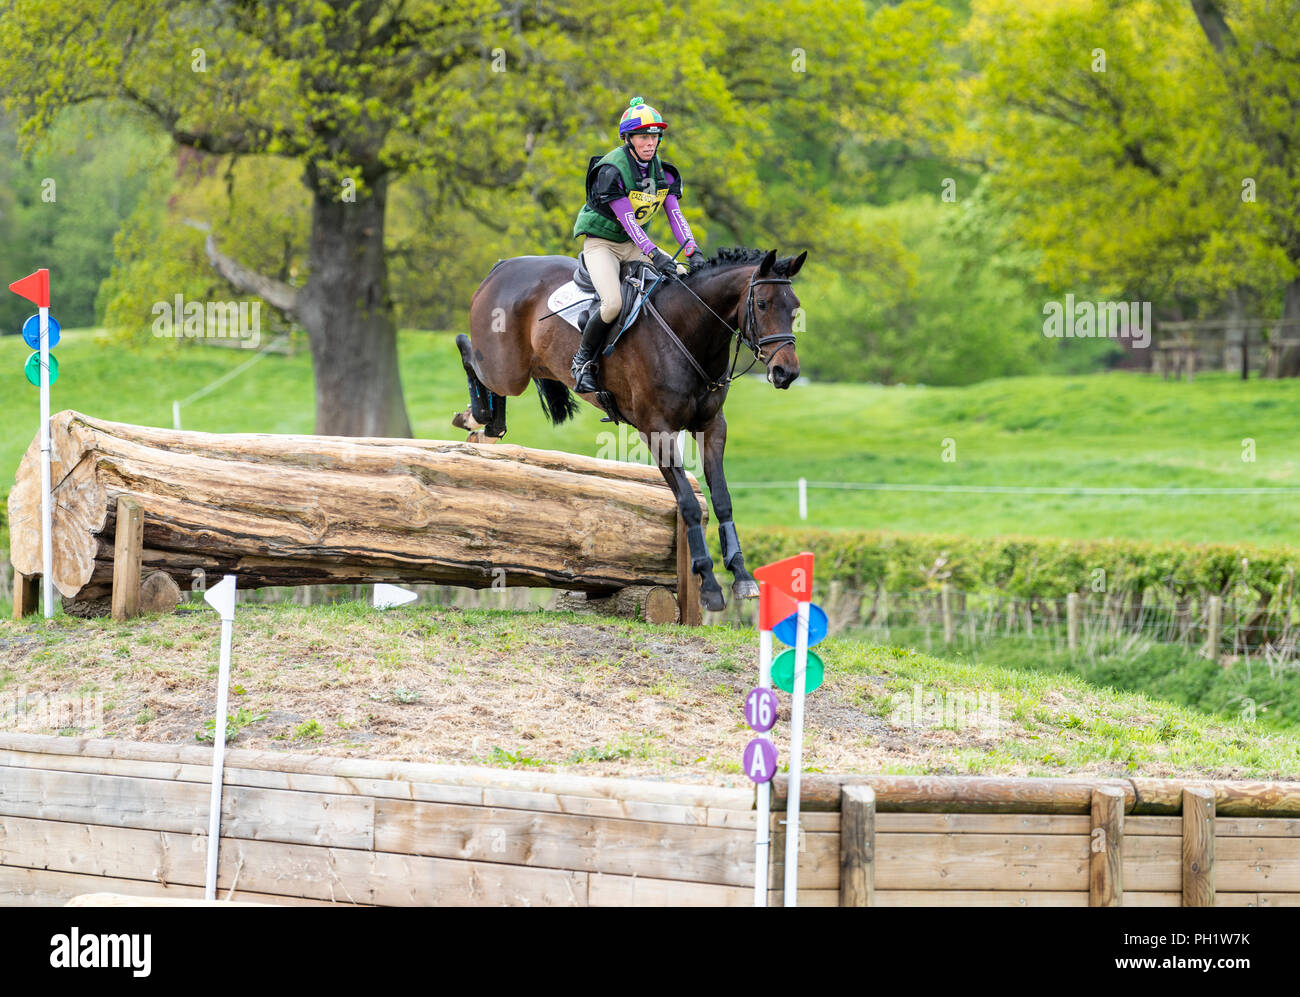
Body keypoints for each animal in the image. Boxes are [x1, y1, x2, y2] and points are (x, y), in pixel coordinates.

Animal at [453, 246, 807, 612]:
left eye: (794, 306)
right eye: (762, 303)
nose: (787, 373)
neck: (688, 331)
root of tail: (501, 268)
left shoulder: (712, 426)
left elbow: (722, 499)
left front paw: (742, 577)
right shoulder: (656, 429)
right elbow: (689, 505)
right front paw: (709, 585)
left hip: (529, 368)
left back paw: (486, 425)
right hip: (507, 370)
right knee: (468, 351)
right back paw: (476, 416)